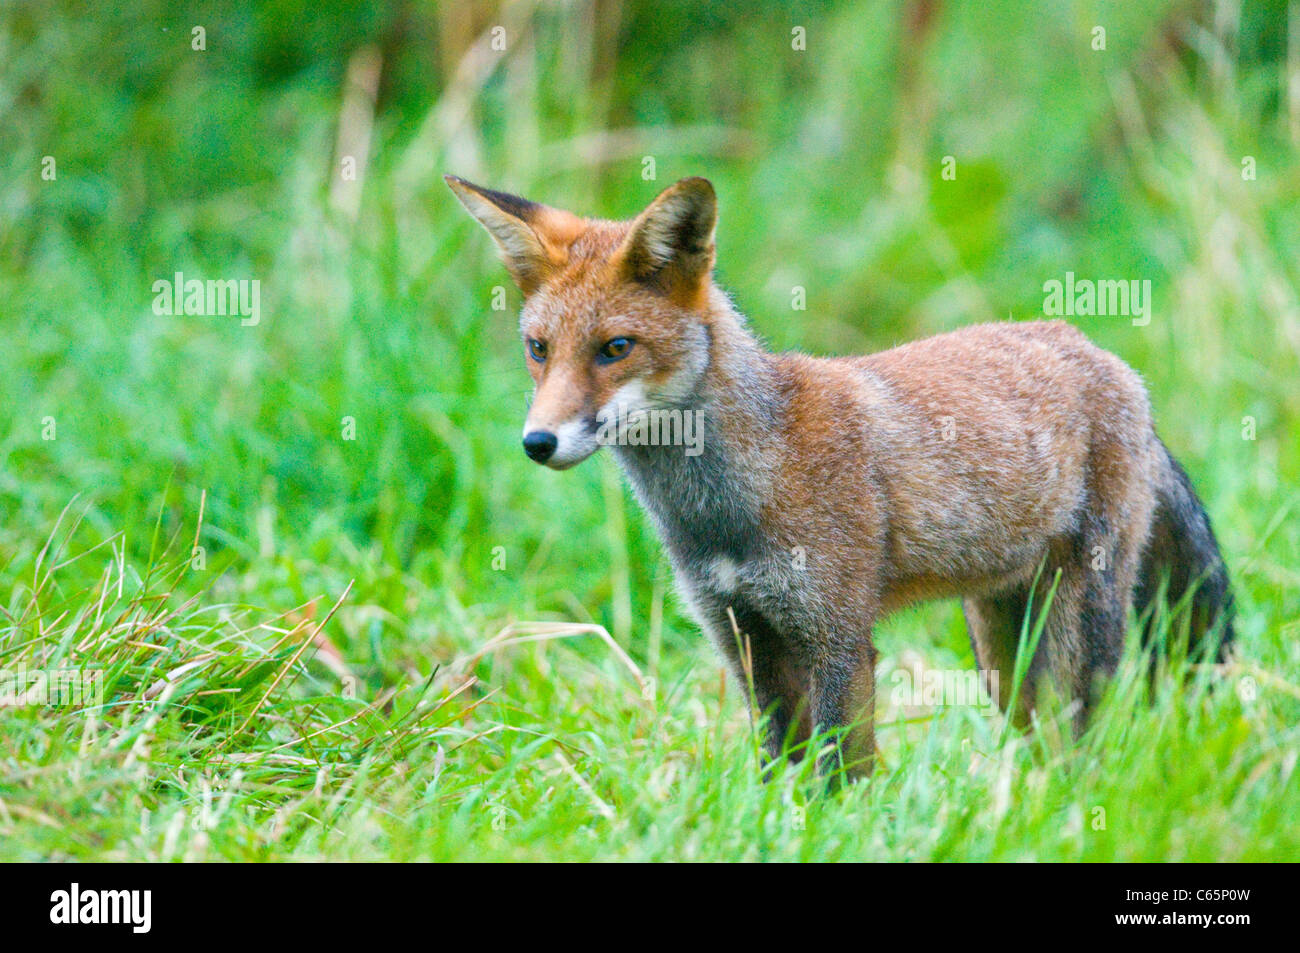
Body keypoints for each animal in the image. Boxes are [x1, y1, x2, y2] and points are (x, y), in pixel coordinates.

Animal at [446, 173, 1235, 780]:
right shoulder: (744, 635)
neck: (727, 503)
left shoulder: (838, 637)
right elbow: (778, 767)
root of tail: (1106, 357)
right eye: (538, 349)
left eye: (615, 348)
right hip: (1000, 650)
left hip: (1079, 628)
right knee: (1037, 738)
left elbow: (838, 771)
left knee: (1079, 742)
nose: (537, 442)